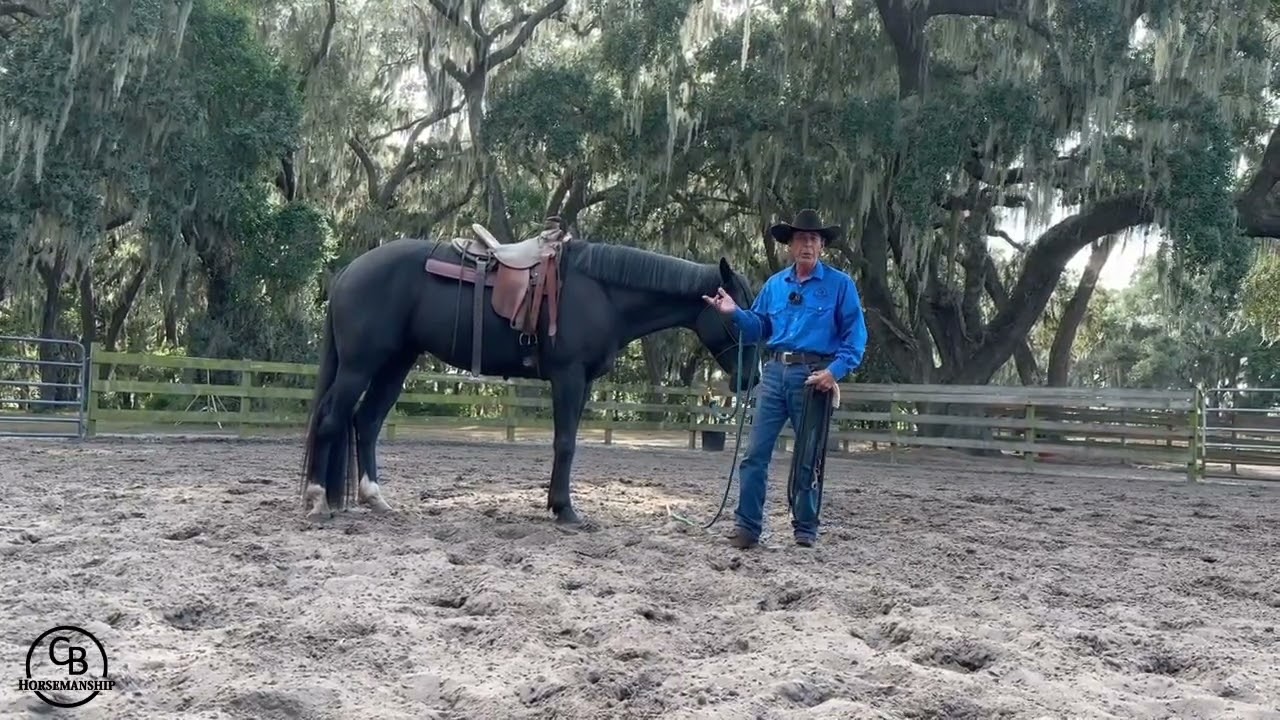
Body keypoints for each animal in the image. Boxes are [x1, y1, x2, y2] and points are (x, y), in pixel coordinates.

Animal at [298, 224, 761, 531]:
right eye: (735, 315)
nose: (751, 379)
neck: (604, 292)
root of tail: (348, 273)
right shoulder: (569, 376)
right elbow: (565, 443)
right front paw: (565, 510)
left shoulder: (583, 382)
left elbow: (567, 442)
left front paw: (559, 506)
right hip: (361, 364)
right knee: (332, 419)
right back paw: (319, 500)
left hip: (396, 362)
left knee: (367, 421)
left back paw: (375, 499)